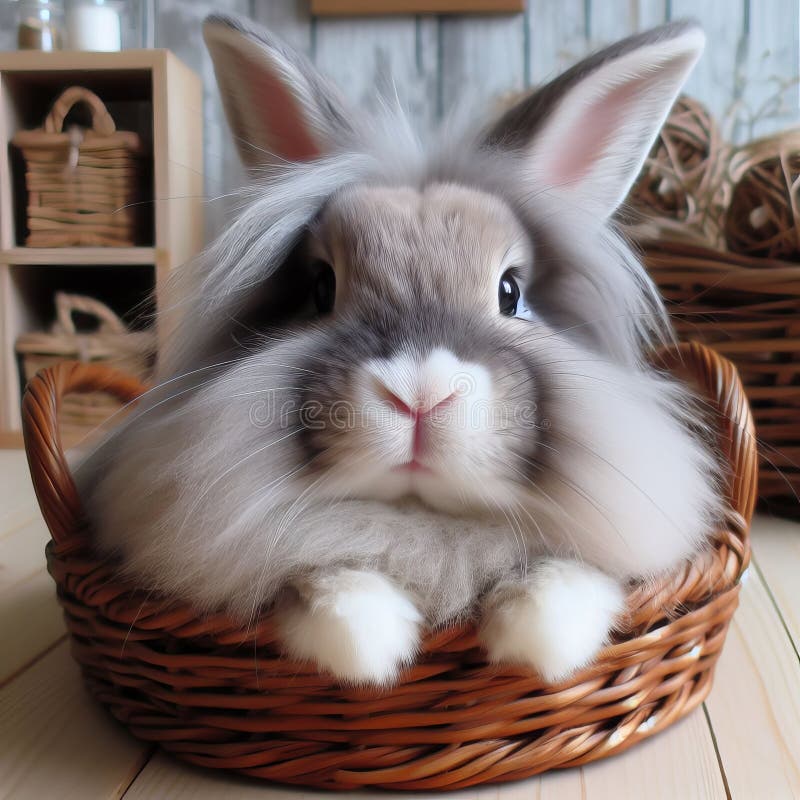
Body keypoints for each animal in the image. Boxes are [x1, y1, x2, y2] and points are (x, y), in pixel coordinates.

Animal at [75, 14, 723, 686]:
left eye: (511, 292)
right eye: (321, 287)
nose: (420, 393)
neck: (418, 517)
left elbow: (569, 574)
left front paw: (540, 642)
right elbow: (319, 578)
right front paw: (369, 647)